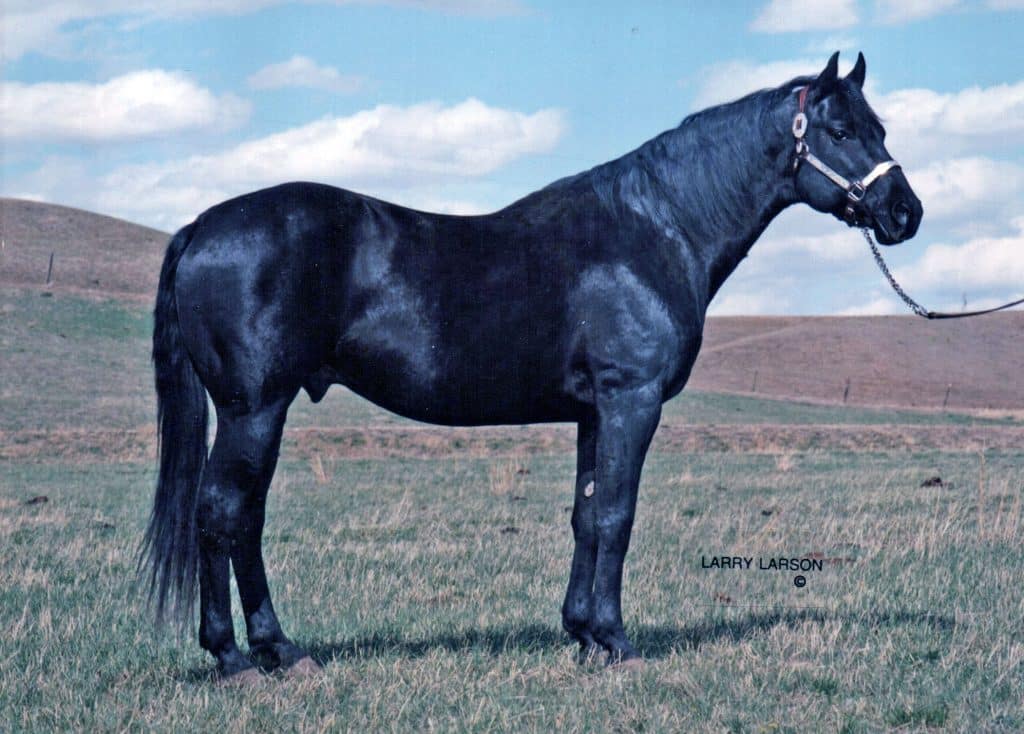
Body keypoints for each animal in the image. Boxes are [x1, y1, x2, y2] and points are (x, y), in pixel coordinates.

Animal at [142, 52, 922, 681]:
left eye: (880, 127)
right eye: (842, 131)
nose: (905, 212)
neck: (653, 228)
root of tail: (204, 226)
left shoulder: (594, 412)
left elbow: (586, 515)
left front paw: (583, 634)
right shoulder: (631, 401)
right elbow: (616, 514)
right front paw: (617, 642)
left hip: (258, 413)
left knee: (244, 517)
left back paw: (280, 651)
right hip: (253, 409)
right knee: (223, 513)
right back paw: (236, 658)